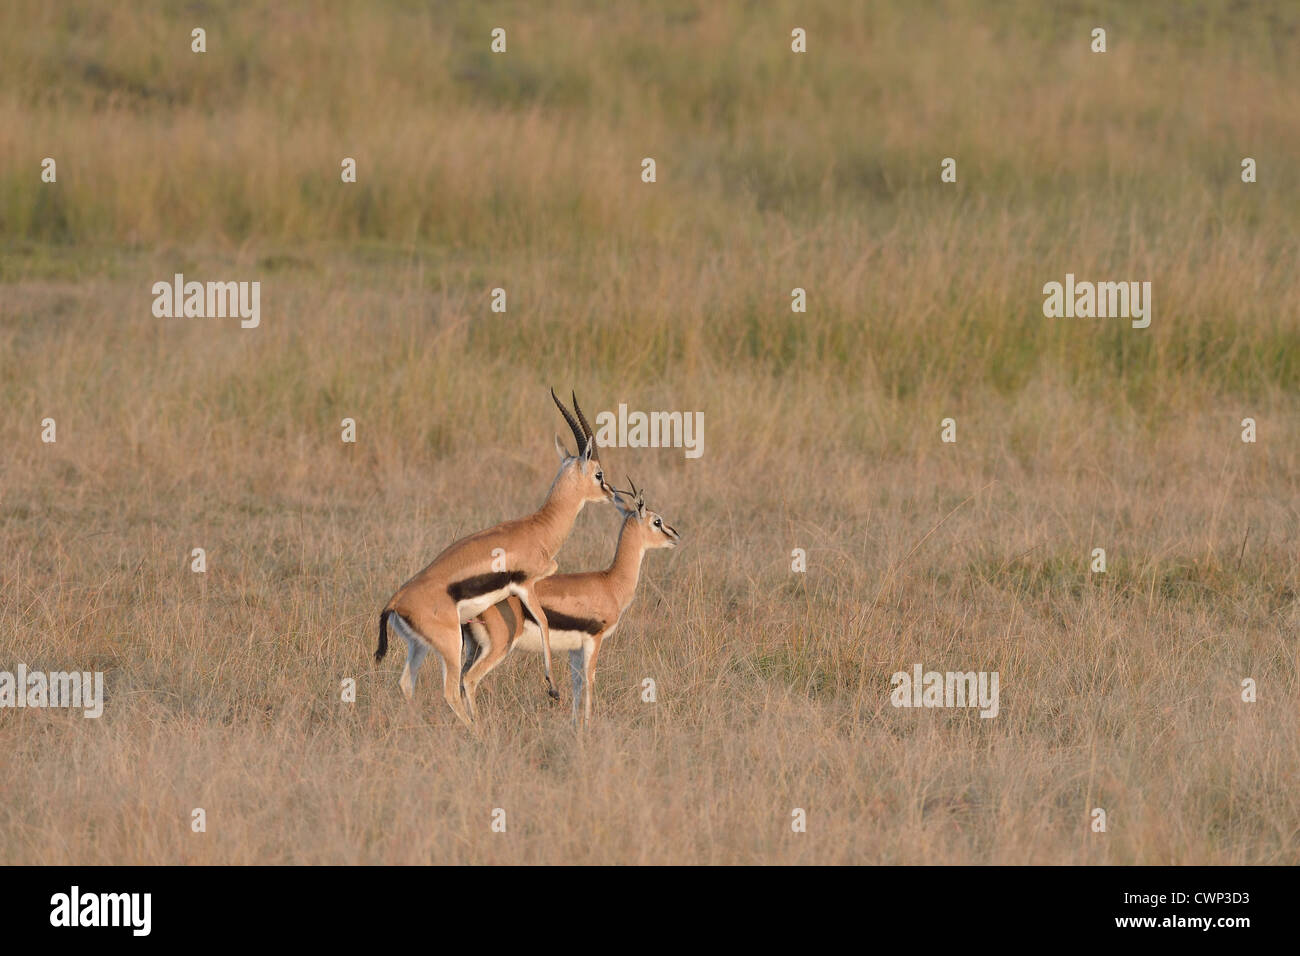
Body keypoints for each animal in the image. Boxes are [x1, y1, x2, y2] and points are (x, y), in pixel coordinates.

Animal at [374, 390, 617, 726]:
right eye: (598, 473)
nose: (612, 493)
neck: (538, 528)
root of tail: (396, 602)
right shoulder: (526, 585)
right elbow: (544, 621)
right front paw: (552, 688)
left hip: (419, 647)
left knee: (407, 683)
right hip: (451, 645)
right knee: (451, 689)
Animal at [459, 479, 680, 727]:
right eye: (657, 521)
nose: (675, 536)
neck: (610, 583)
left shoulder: (575, 648)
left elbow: (577, 683)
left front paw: (576, 725)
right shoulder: (594, 639)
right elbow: (590, 680)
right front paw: (588, 724)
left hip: (474, 648)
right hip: (499, 646)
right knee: (469, 679)